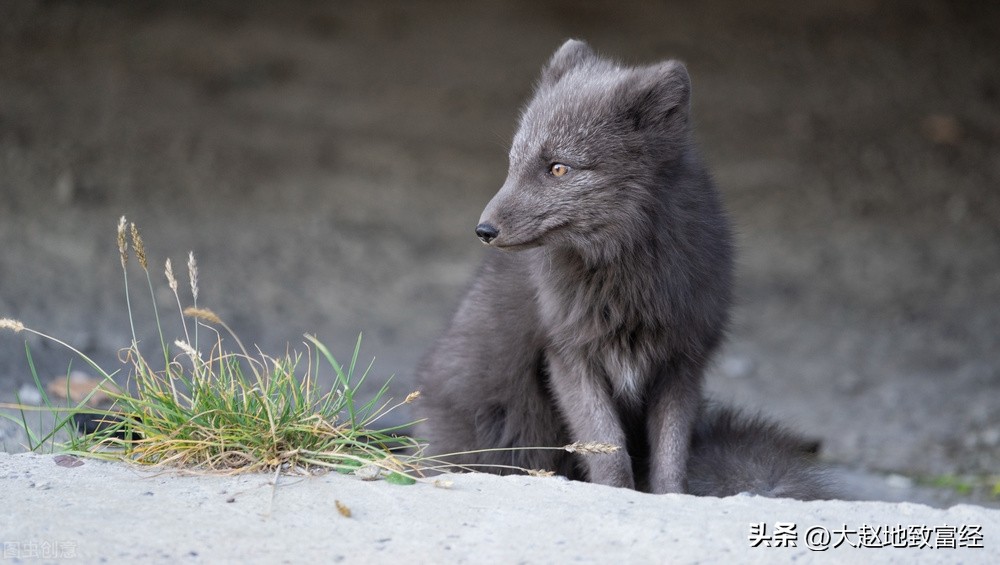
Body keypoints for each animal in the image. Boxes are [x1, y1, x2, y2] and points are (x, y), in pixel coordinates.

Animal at [415, 39, 832, 499]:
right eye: (513, 162)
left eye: (558, 168)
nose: (483, 230)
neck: (624, 278)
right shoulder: (569, 356)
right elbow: (607, 449)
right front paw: (617, 493)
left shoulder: (681, 361)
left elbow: (671, 453)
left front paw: (670, 497)